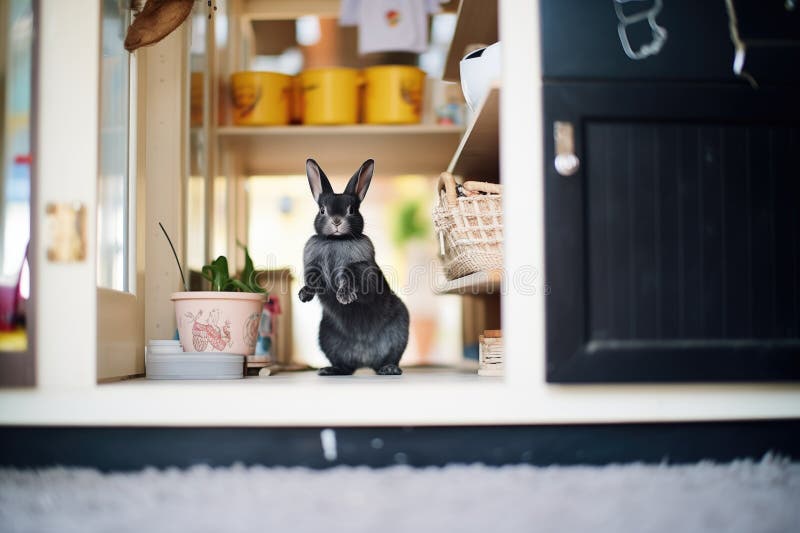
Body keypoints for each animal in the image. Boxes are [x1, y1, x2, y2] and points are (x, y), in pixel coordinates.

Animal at [298, 158, 409, 376]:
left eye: (352, 210)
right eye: (322, 210)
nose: (336, 222)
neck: (336, 241)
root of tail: (364, 359)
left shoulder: (360, 268)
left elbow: (350, 278)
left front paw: (345, 297)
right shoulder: (313, 266)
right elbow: (313, 280)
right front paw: (304, 295)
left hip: (399, 331)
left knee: (391, 358)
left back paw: (389, 369)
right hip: (326, 336)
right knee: (345, 367)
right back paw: (329, 370)